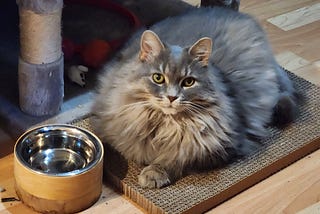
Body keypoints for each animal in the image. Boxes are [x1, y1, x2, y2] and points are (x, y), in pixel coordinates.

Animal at [91, 7, 298, 189]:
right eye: (158, 78)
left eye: (188, 82)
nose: (172, 97)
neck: (166, 124)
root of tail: (241, 15)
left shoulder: (220, 147)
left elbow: (179, 157)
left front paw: (154, 173)